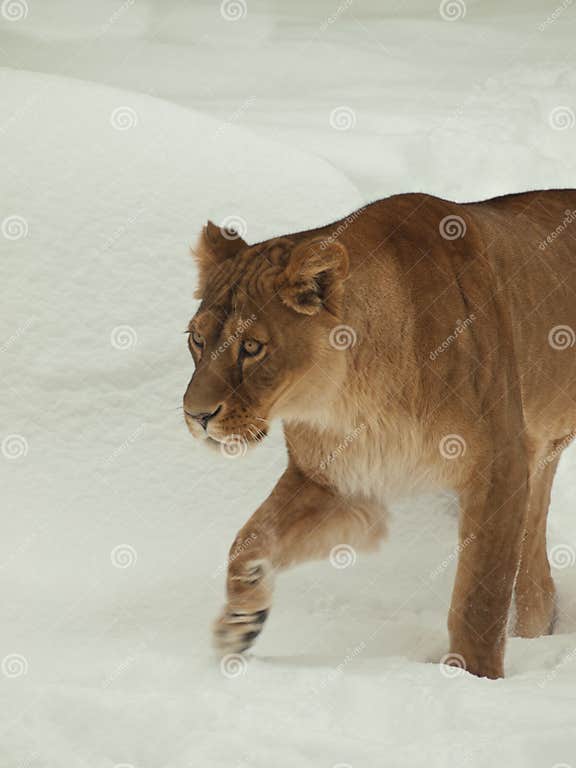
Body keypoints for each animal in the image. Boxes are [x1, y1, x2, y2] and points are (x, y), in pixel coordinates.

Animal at [183, 190, 576, 678]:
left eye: (252, 347)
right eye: (197, 340)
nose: (196, 415)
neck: (353, 395)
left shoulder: (498, 467)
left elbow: (479, 600)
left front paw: (473, 679)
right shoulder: (336, 482)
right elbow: (250, 540)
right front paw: (240, 622)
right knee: (536, 578)